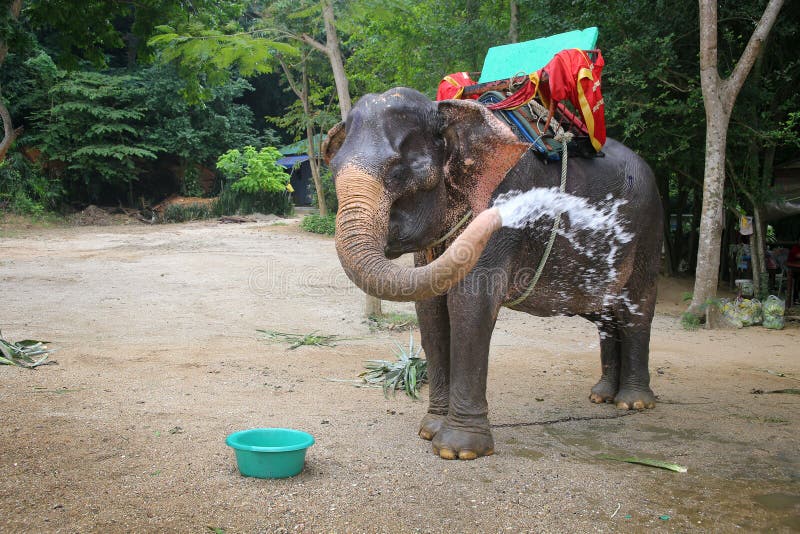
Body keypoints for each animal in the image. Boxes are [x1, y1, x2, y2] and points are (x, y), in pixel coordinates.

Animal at [323, 87, 663, 460]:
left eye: (398, 172)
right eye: (333, 169)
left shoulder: (500, 209)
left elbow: (469, 304)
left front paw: (458, 450)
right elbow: (430, 310)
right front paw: (429, 431)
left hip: (648, 231)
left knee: (637, 308)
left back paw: (633, 403)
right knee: (607, 316)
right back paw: (601, 395)